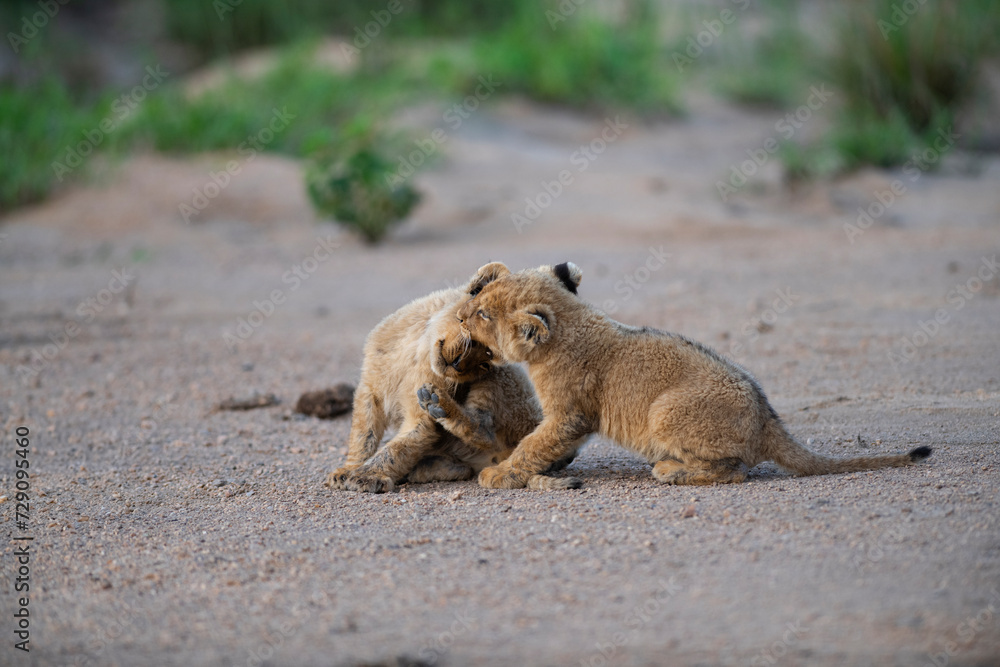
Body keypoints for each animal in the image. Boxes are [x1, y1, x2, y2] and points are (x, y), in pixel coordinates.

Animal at [323, 282, 582, 494]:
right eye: (471, 336)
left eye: (486, 361)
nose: (457, 365)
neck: (415, 347)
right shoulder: (370, 389)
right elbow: (363, 433)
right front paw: (347, 471)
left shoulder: (423, 410)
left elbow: (396, 449)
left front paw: (365, 476)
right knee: (464, 468)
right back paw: (426, 467)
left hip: (505, 386)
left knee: (484, 429)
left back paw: (440, 408)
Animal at [456, 261, 933, 488]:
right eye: (480, 297)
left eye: (483, 314)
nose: (459, 315)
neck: (572, 321)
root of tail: (766, 418)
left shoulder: (570, 415)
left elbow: (533, 444)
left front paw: (502, 474)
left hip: (664, 410)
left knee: (735, 469)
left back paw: (671, 470)